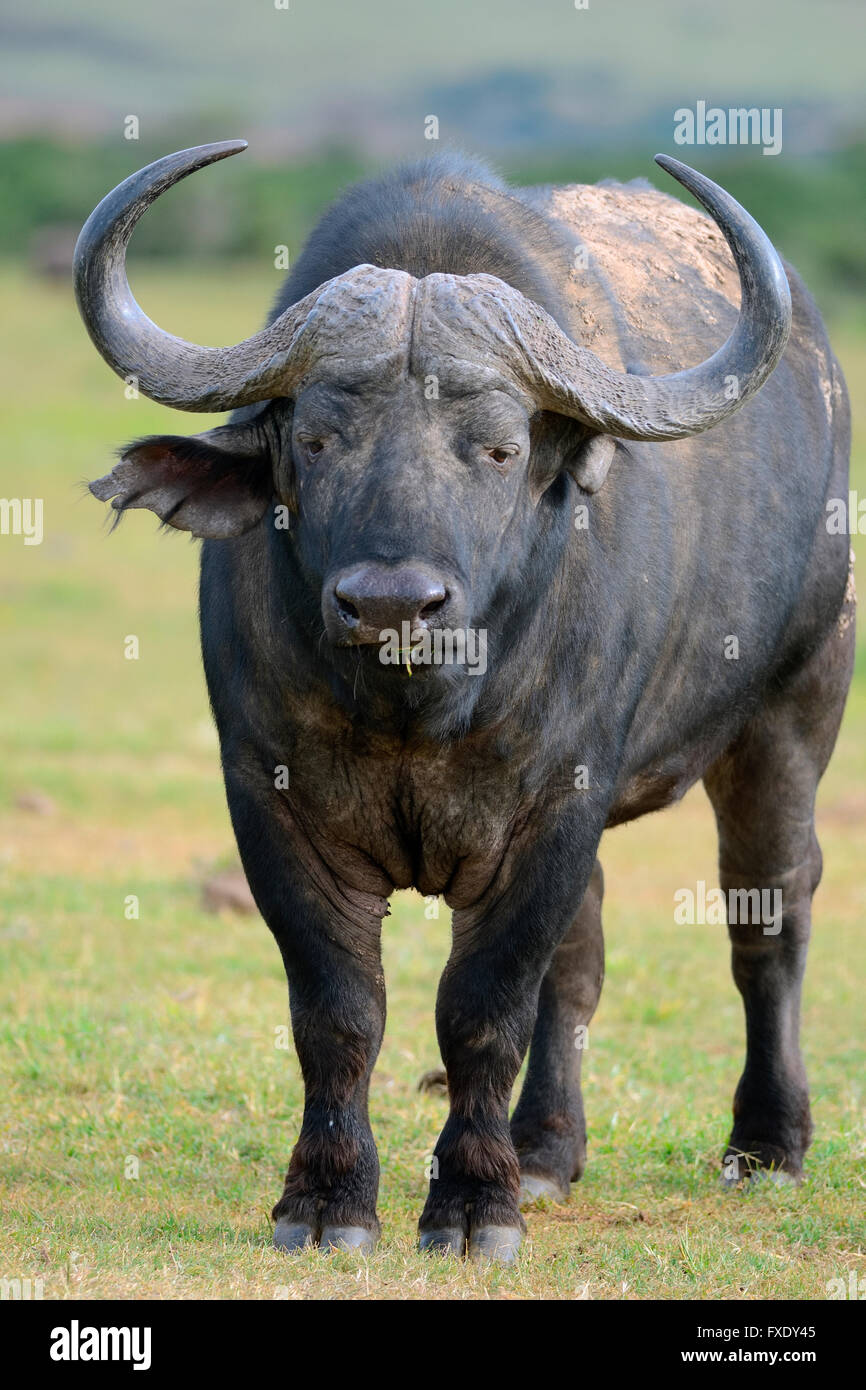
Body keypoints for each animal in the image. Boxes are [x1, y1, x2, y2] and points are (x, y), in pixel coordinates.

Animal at [74, 143, 854, 1262]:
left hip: (792, 711)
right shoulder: (270, 803)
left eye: (496, 447)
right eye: (316, 440)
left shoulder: (554, 807)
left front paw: (474, 1208)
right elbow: (339, 1010)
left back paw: (766, 1143)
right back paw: (546, 1150)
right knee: (580, 960)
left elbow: (483, 1008)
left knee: (769, 913)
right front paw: (327, 1201)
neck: (417, 707)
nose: (391, 602)